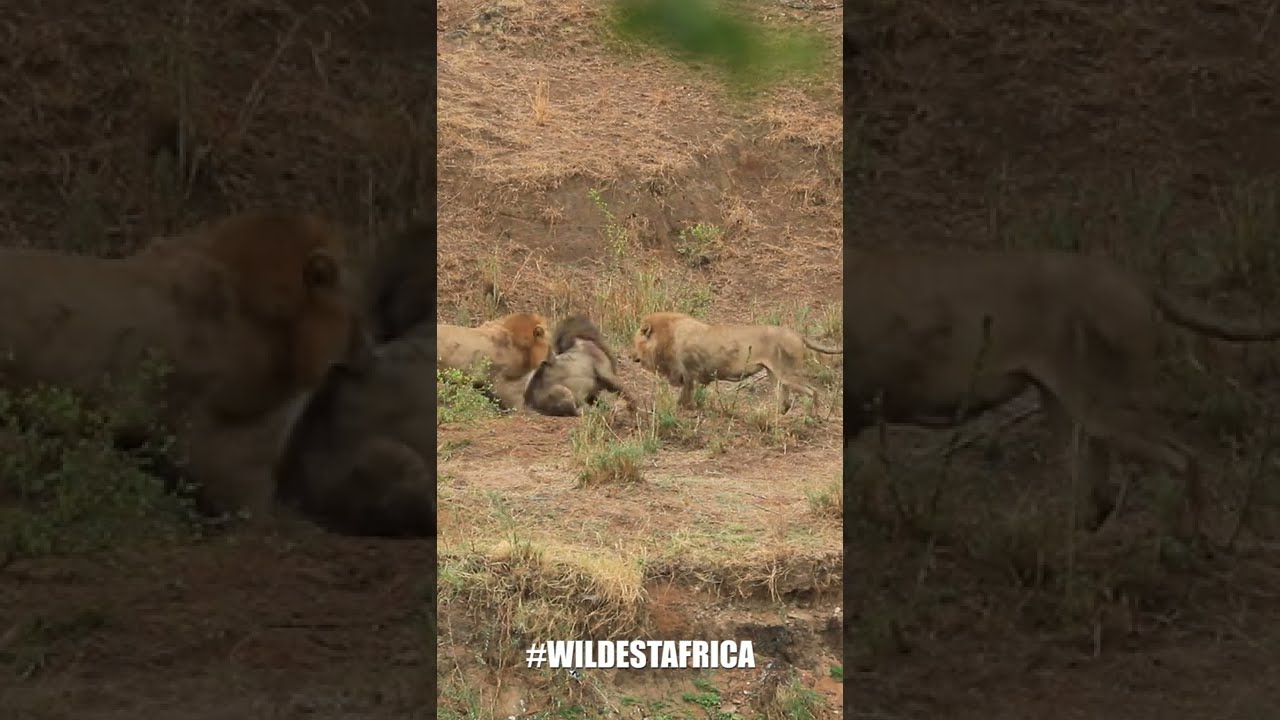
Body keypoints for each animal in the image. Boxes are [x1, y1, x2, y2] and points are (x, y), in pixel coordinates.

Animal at [630, 312, 843, 415]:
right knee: (784, 400)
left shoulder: (689, 372)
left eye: (635, 341)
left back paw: (815, 416)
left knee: (813, 391)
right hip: (775, 375)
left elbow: (684, 397)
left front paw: (685, 410)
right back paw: (773, 414)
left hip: (788, 374)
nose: (631, 355)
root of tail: (797, 334)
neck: (668, 336)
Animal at [842, 248, 1280, 540]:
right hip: (1069, 408)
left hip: (1105, 406)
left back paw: (1187, 544)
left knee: (1184, 459)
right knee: (1098, 490)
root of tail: (1131, 278)